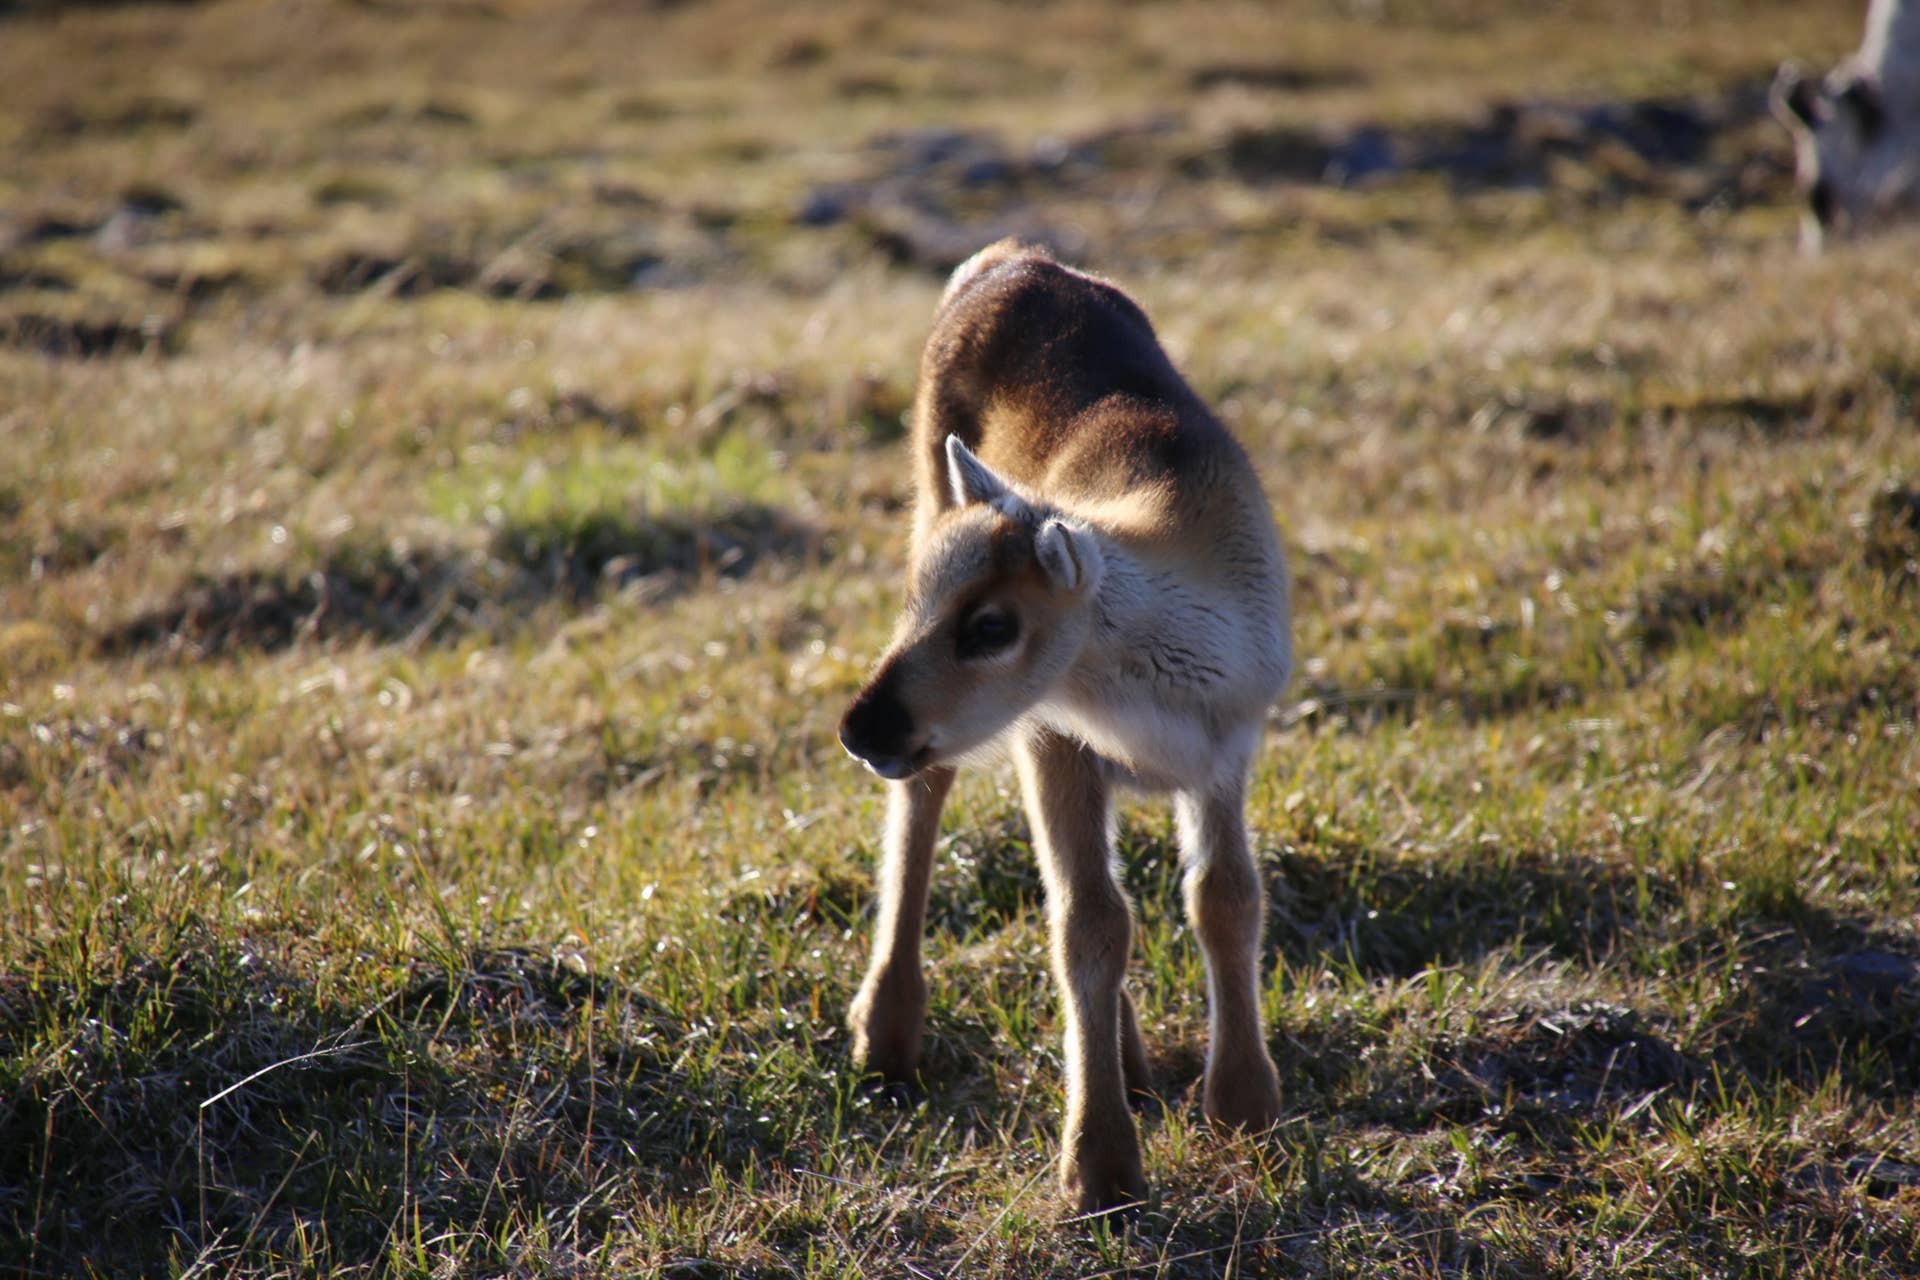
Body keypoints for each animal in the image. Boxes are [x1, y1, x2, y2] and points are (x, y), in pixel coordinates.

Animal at [836, 239, 1291, 1215]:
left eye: (991, 625)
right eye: (918, 604)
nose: (860, 728)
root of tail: (1012, 258)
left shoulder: (1227, 747)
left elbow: (1224, 897)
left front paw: (1243, 1106)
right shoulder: (1054, 742)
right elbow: (1089, 920)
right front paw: (1101, 1167)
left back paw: (1134, 1066)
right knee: (926, 793)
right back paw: (886, 1030)